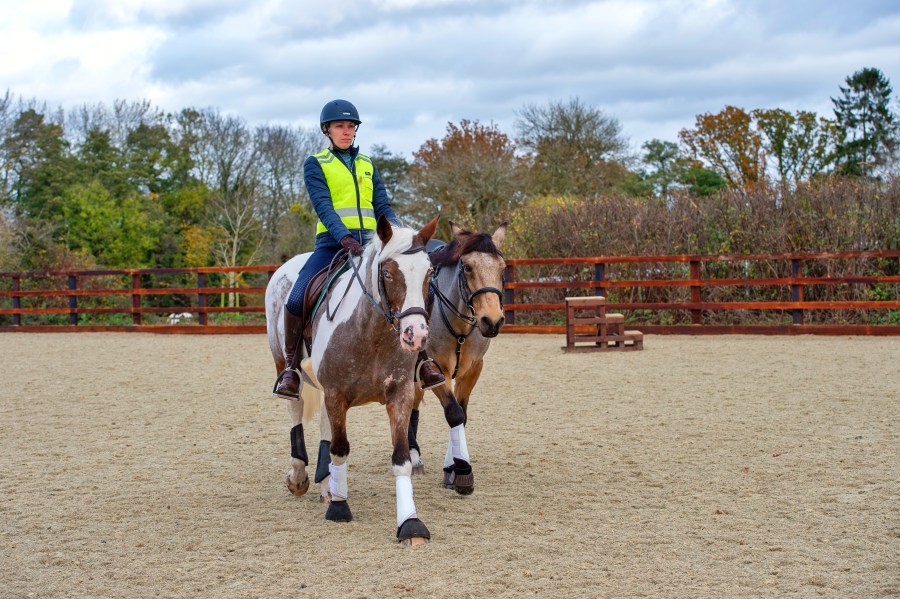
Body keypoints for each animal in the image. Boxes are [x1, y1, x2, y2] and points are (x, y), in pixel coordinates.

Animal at [265, 216, 439, 544]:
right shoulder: (336, 393)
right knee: (295, 409)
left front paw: (410, 523)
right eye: (388, 272)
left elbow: (401, 459)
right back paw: (300, 478)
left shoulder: (400, 394)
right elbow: (340, 448)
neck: (372, 334)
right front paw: (340, 508)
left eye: (429, 273)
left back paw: (326, 488)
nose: (417, 335)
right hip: (285, 361)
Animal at [407, 222, 507, 494]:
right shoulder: (435, 369)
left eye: (502, 267)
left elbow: (462, 414)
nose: (492, 320)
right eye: (468, 267)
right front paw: (462, 472)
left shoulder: (472, 369)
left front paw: (452, 465)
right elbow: (453, 413)